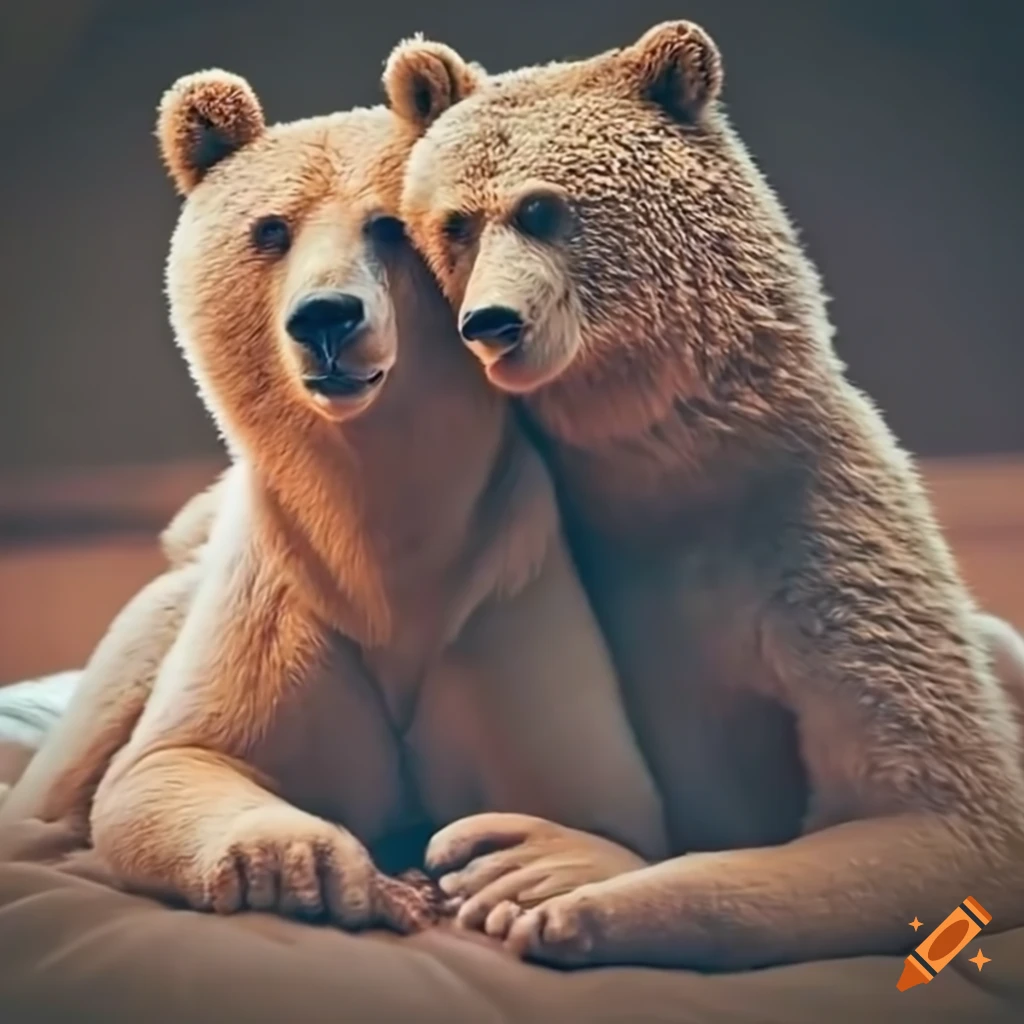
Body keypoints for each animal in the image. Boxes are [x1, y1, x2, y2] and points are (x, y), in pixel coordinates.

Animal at [69, 70, 668, 933]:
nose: (326, 316)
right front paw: (302, 864)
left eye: (389, 225)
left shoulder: (501, 595)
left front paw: (516, 866)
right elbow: (170, 761)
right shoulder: (282, 597)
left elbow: (607, 807)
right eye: (271, 228)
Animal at [381, 23, 1024, 967]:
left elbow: (939, 810)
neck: (667, 466)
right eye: (454, 223)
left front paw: (554, 885)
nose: (491, 324)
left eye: (541, 209)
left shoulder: (824, 534)